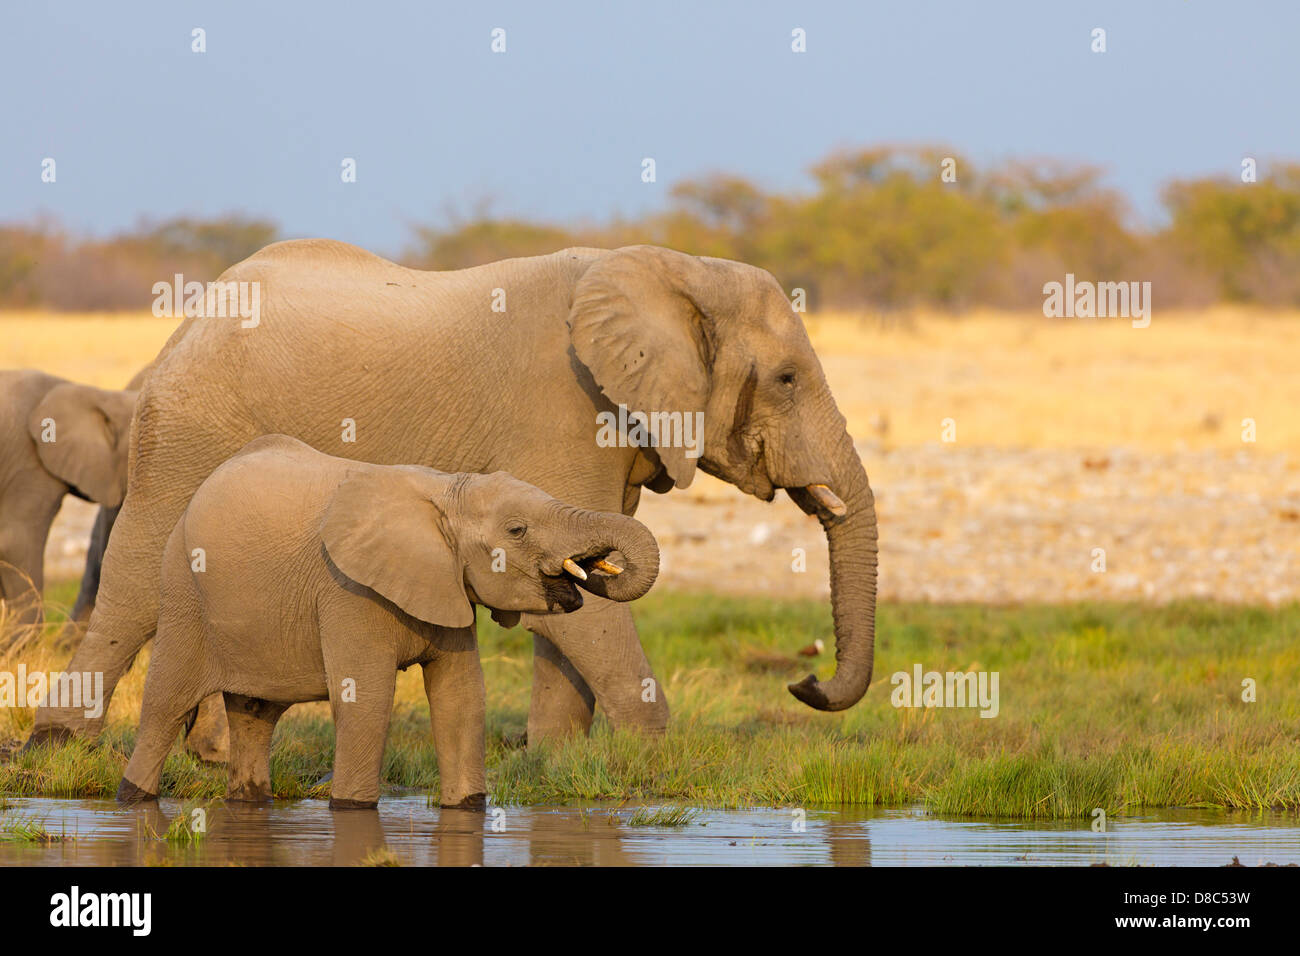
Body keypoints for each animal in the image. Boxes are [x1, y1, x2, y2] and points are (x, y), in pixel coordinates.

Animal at [27, 240, 879, 753]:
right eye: (787, 379)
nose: (804, 680)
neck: (673, 268)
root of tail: (191, 315)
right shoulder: (562, 406)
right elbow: (582, 607)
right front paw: (652, 761)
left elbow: (571, 591)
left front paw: (557, 769)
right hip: (189, 426)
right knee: (142, 577)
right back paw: (58, 746)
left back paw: (208, 756)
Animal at [116, 435, 659, 809]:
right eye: (517, 530)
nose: (592, 566)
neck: (445, 488)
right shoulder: (347, 591)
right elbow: (368, 699)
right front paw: (351, 808)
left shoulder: (445, 585)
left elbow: (462, 698)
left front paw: (467, 807)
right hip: (183, 589)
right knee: (165, 701)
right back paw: (132, 798)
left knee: (255, 711)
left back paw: (249, 801)